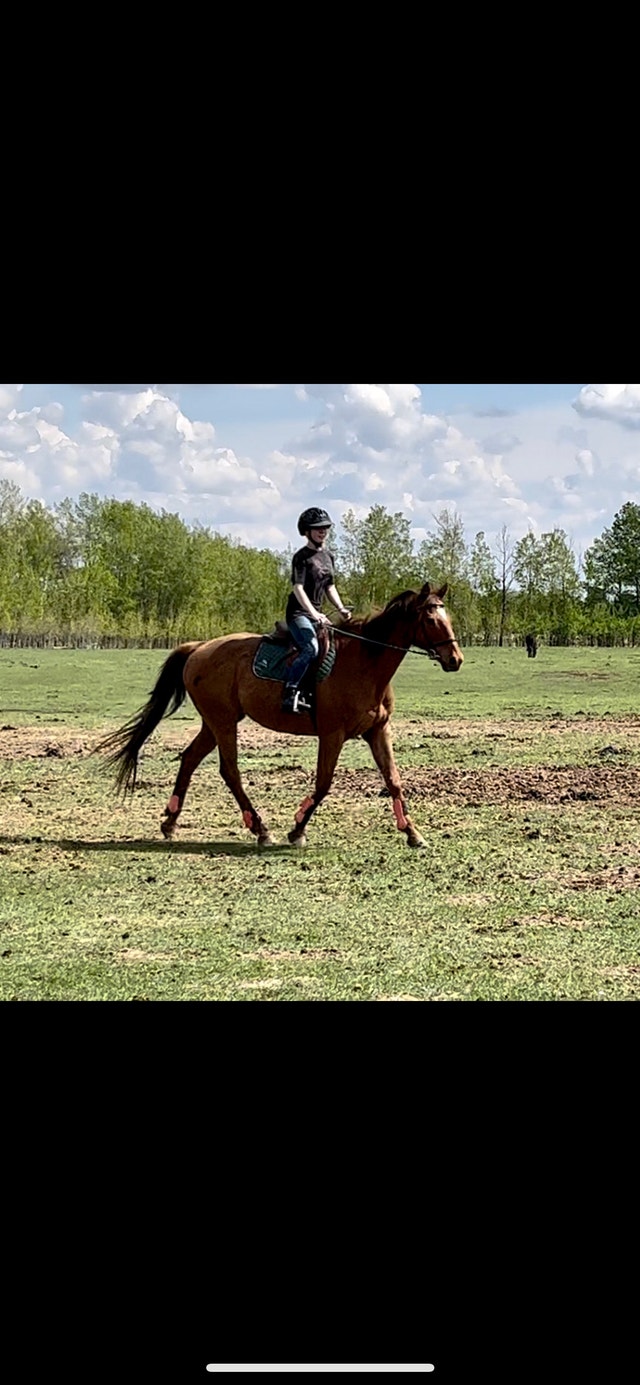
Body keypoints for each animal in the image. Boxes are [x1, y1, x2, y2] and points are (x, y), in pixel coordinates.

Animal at [94, 582, 463, 849]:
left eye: (448, 619)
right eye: (431, 620)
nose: (455, 659)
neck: (364, 663)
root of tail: (198, 648)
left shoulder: (377, 731)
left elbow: (393, 780)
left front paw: (412, 832)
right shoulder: (332, 734)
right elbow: (323, 783)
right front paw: (297, 830)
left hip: (215, 723)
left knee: (189, 760)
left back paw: (170, 822)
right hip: (223, 723)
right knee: (230, 771)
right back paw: (260, 828)